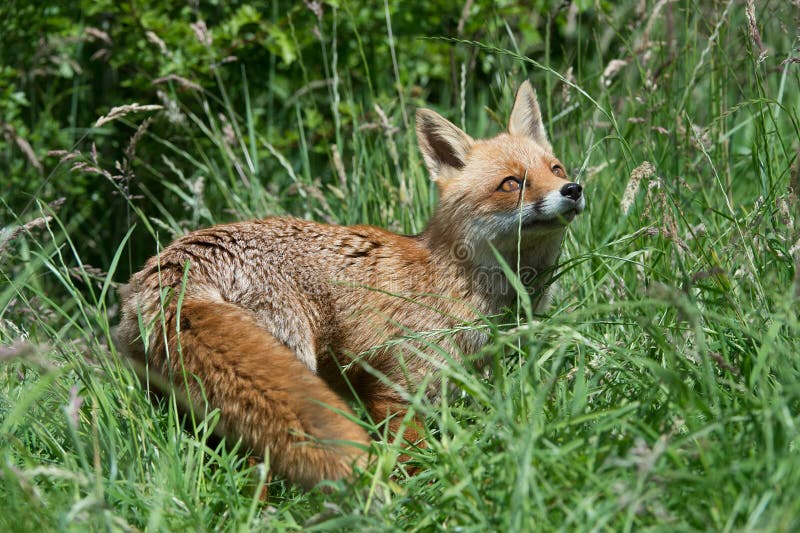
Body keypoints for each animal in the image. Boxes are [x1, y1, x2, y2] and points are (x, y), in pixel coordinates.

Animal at [115, 80, 585, 490]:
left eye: (555, 168)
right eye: (512, 183)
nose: (573, 189)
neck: (451, 280)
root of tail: (177, 264)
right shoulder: (394, 388)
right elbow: (414, 456)